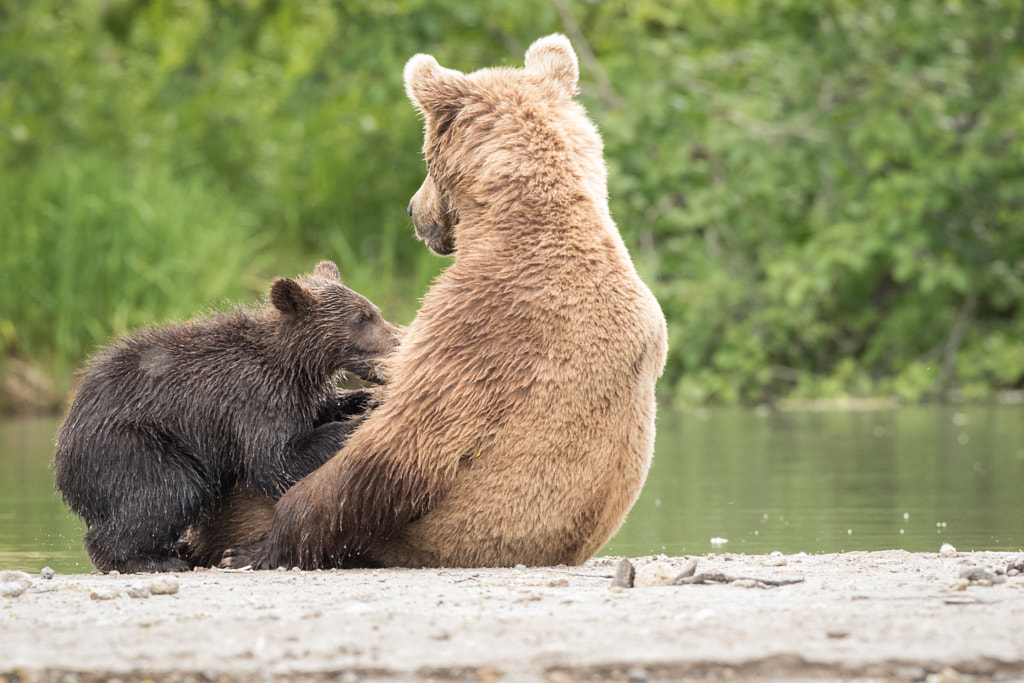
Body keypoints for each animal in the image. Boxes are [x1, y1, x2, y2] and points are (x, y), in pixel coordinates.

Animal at [52, 260, 400, 573]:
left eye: (374, 310)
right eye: (362, 317)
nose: (398, 338)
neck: (294, 364)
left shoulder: (300, 394)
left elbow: (324, 407)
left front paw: (366, 400)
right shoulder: (253, 398)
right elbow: (276, 460)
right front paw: (357, 423)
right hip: (127, 444)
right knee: (168, 490)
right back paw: (150, 560)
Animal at [222, 34, 668, 570]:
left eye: (426, 166)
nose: (414, 210)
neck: (515, 223)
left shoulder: (475, 327)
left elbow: (401, 446)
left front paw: (256, 548)